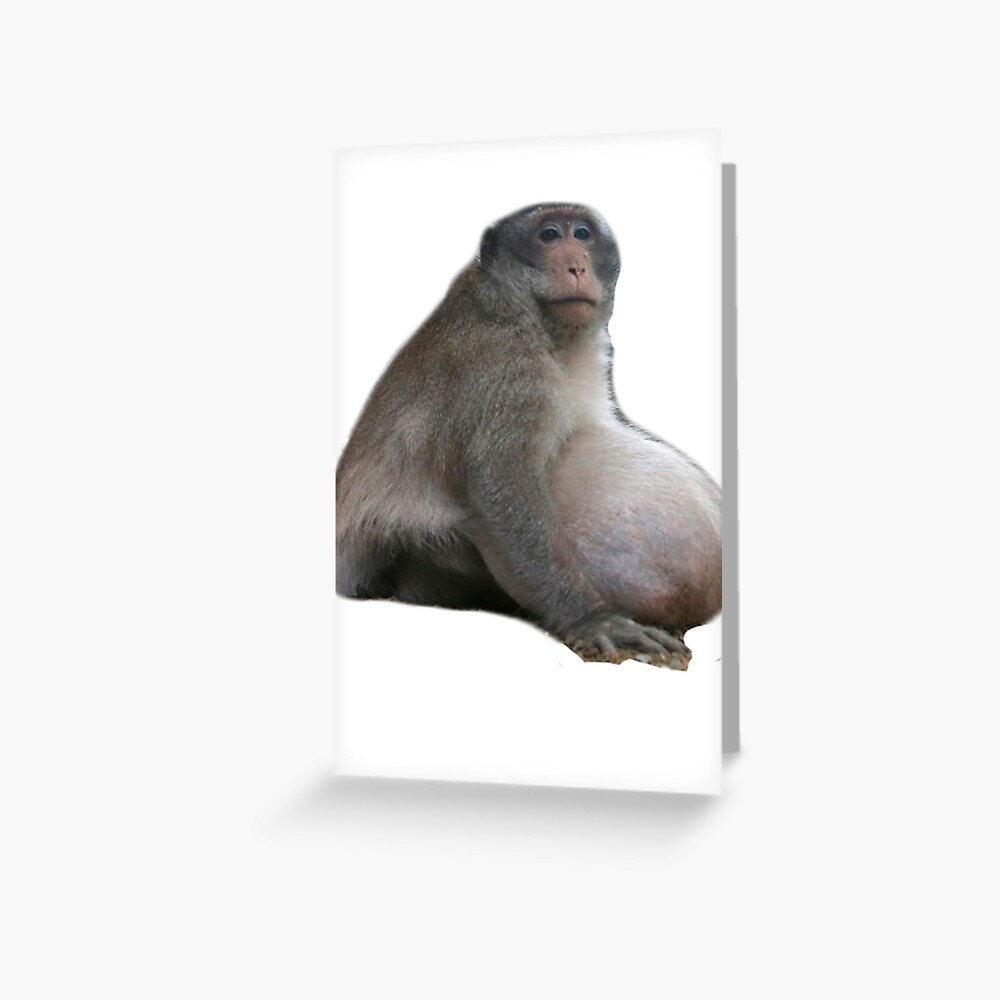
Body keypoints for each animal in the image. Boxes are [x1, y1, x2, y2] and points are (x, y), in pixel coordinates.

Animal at [336, 203, 721, 670]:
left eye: (583, 234)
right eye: (550, 235)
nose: (576, 265)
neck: (524, 318)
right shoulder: (506, 373)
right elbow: (497, 488)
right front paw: (590, 618)